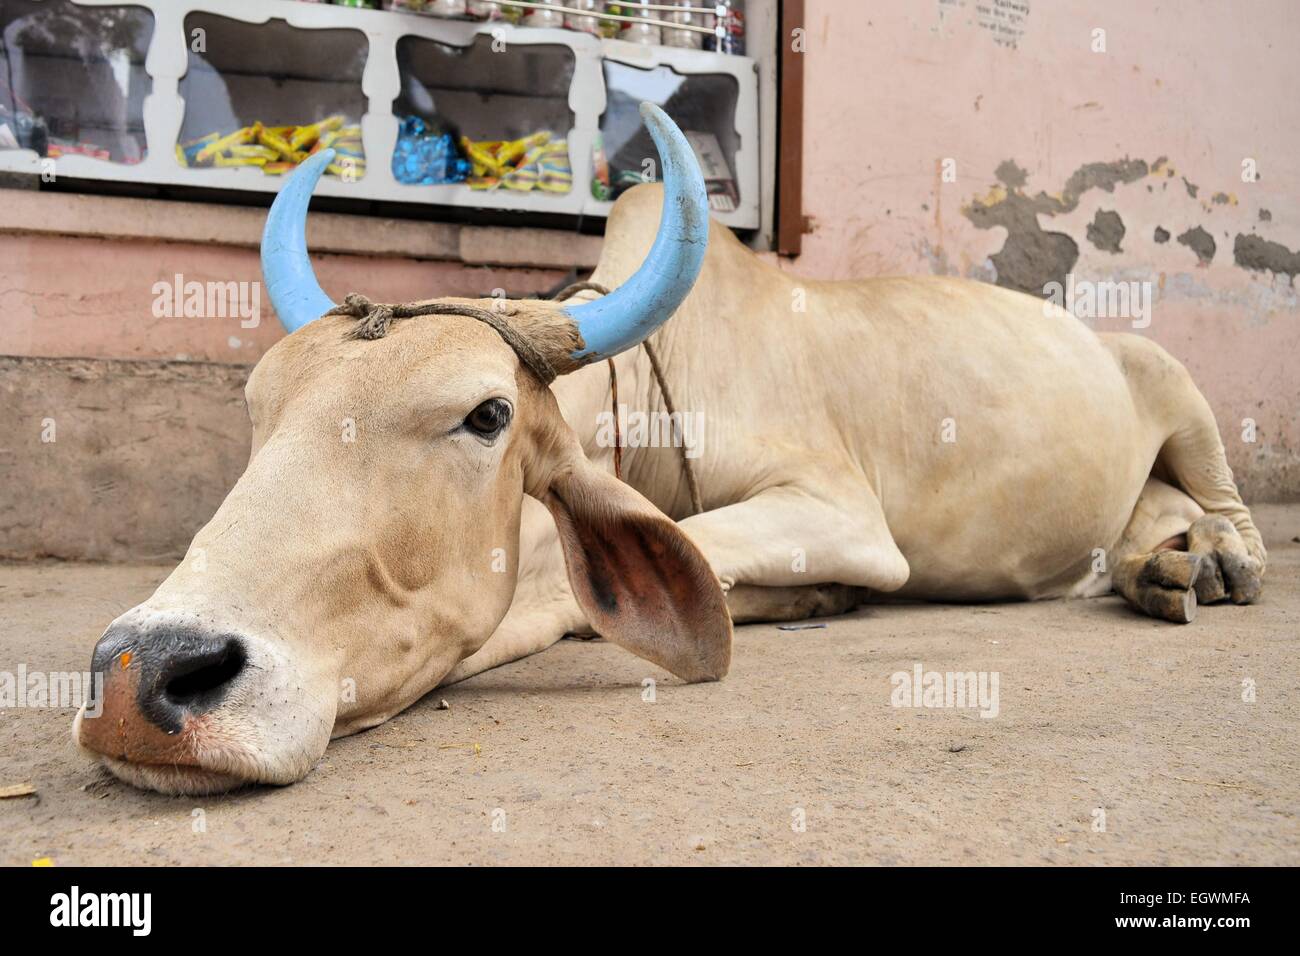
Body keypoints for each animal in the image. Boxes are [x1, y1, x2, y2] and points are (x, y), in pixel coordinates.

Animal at [74, 104, 1265, 794]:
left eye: (485, 415)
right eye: (258, 406)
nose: (147, 675)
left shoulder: (840, 510)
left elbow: (590, 569)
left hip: (1173, 380)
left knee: (1223, 503)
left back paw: (1213, 562)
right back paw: (1161, 565)